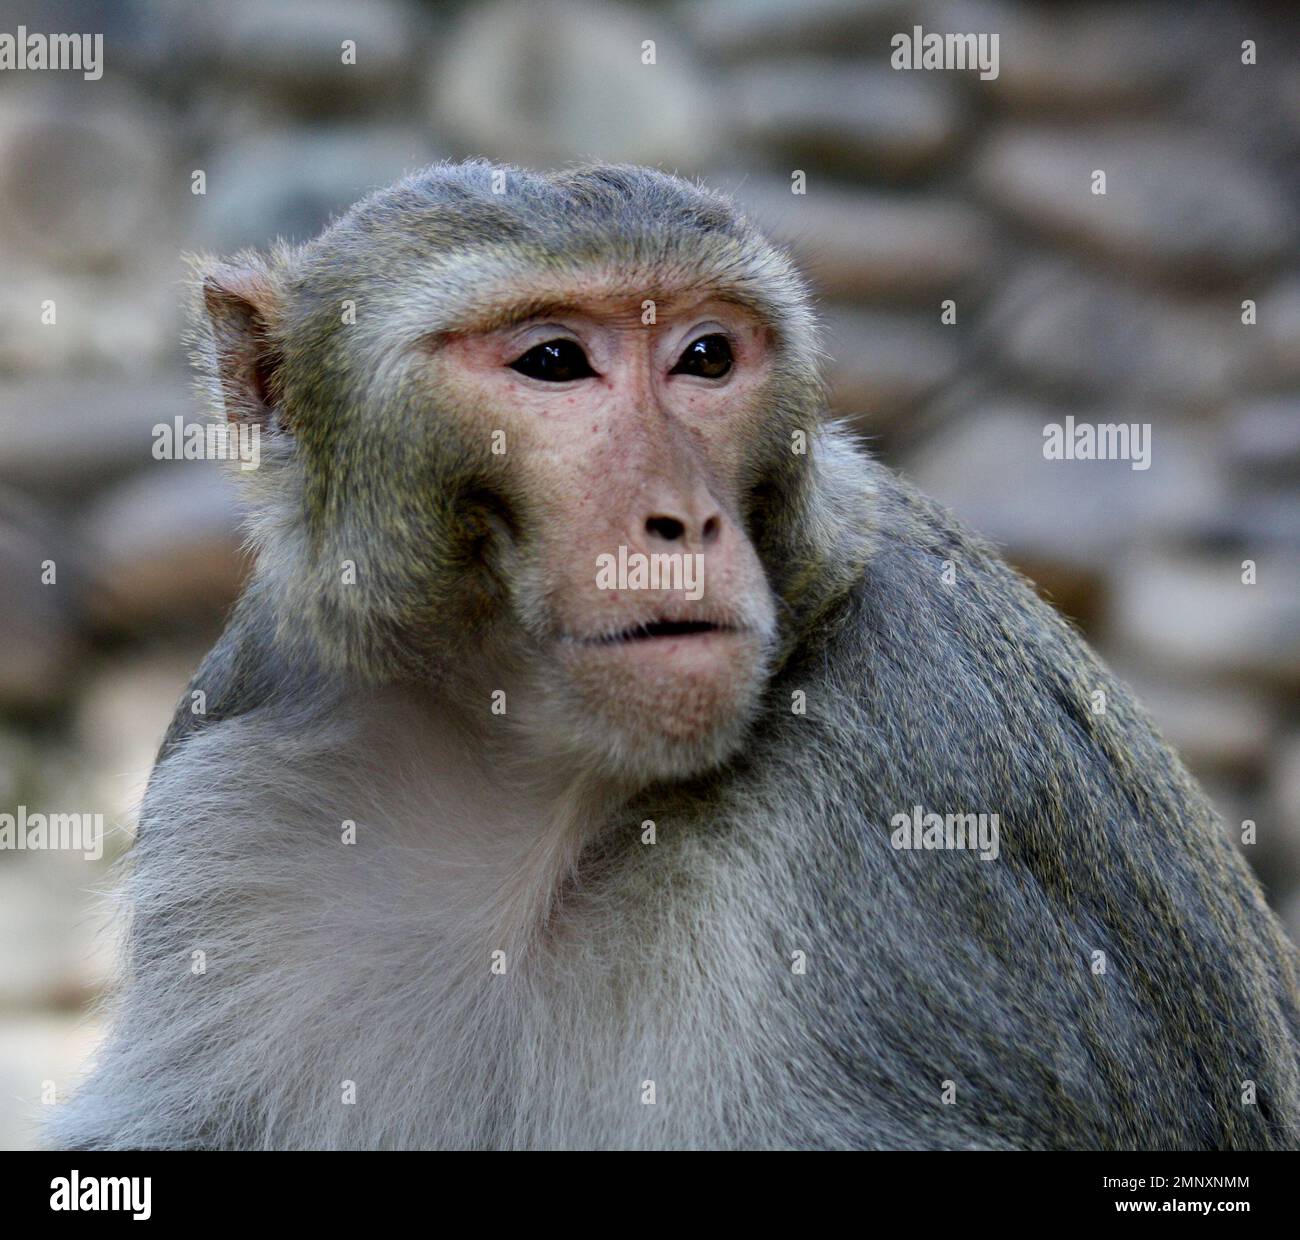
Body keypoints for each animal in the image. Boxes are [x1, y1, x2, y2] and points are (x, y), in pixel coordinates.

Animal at [50, 161, 1299, 1151]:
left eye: (706, 356)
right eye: (556, 360)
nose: (683, 520)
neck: (532, 778)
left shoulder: (910, 800)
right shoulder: (234, 773)